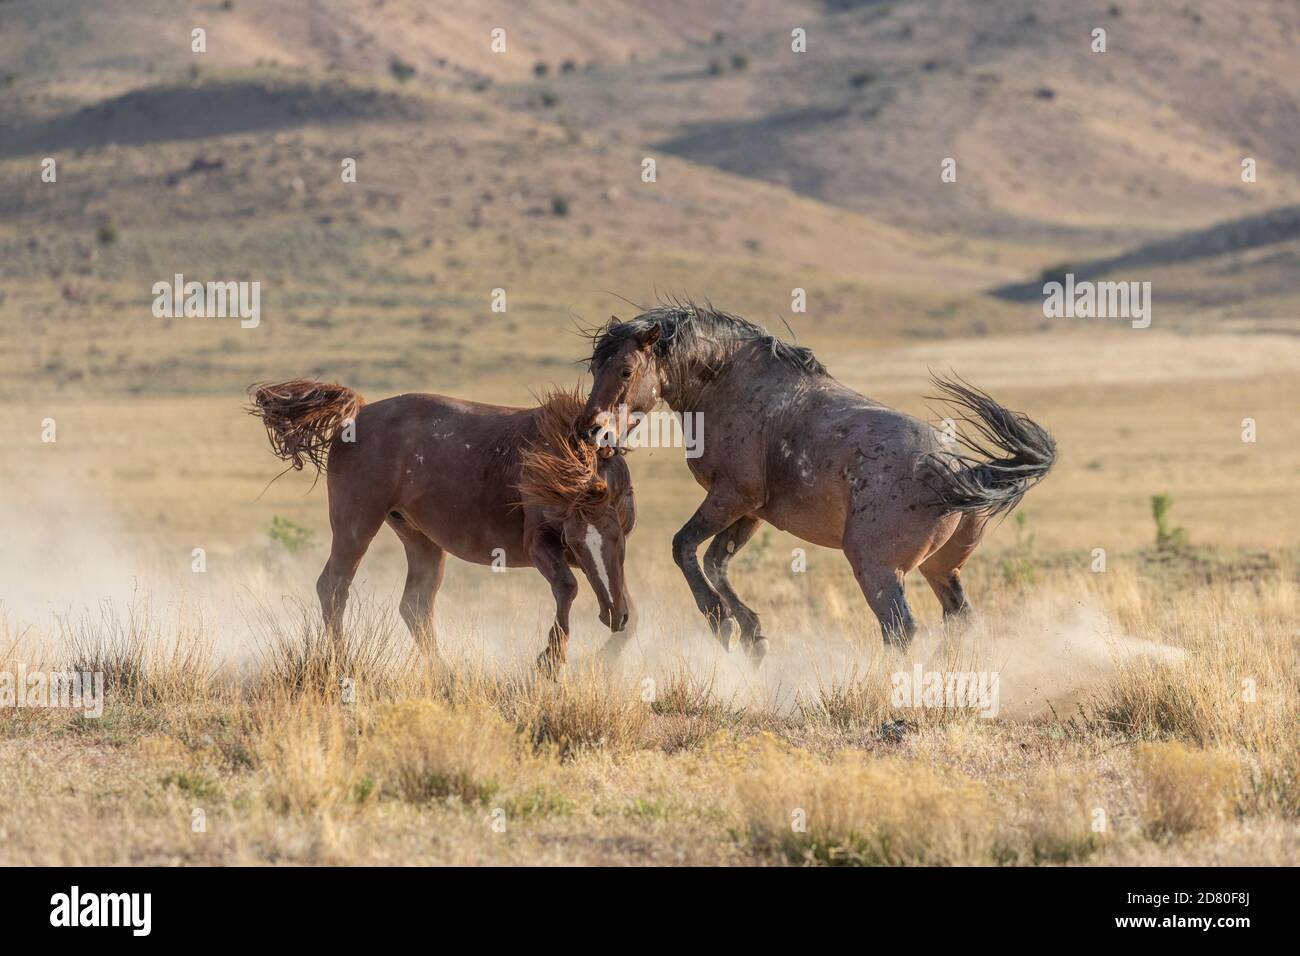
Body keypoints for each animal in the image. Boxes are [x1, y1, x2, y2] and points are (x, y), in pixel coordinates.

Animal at [249, 380, 636, 671]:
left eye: (619, 537)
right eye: (575, 539)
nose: (610, 615)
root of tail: (356, 414)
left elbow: (629, 614)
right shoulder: (541, 546)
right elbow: (568, 588)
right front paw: (551, 659)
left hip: (421, 540)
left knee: (415, 606)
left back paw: (445, 673)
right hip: (355, 526)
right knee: (333, 588)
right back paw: (343, 664)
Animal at [576, 302, 1056, 662]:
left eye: (625, 371)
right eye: (594, 368)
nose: (590, 432)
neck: (731, 383)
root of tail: (963, 471)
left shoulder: (731, 496)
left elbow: (684, 548)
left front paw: (719, 620)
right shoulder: (751, 510)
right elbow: (716, 561)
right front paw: (752, 634)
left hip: (876, 568)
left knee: (900, 629)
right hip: (942, 570)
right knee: (960, 619)